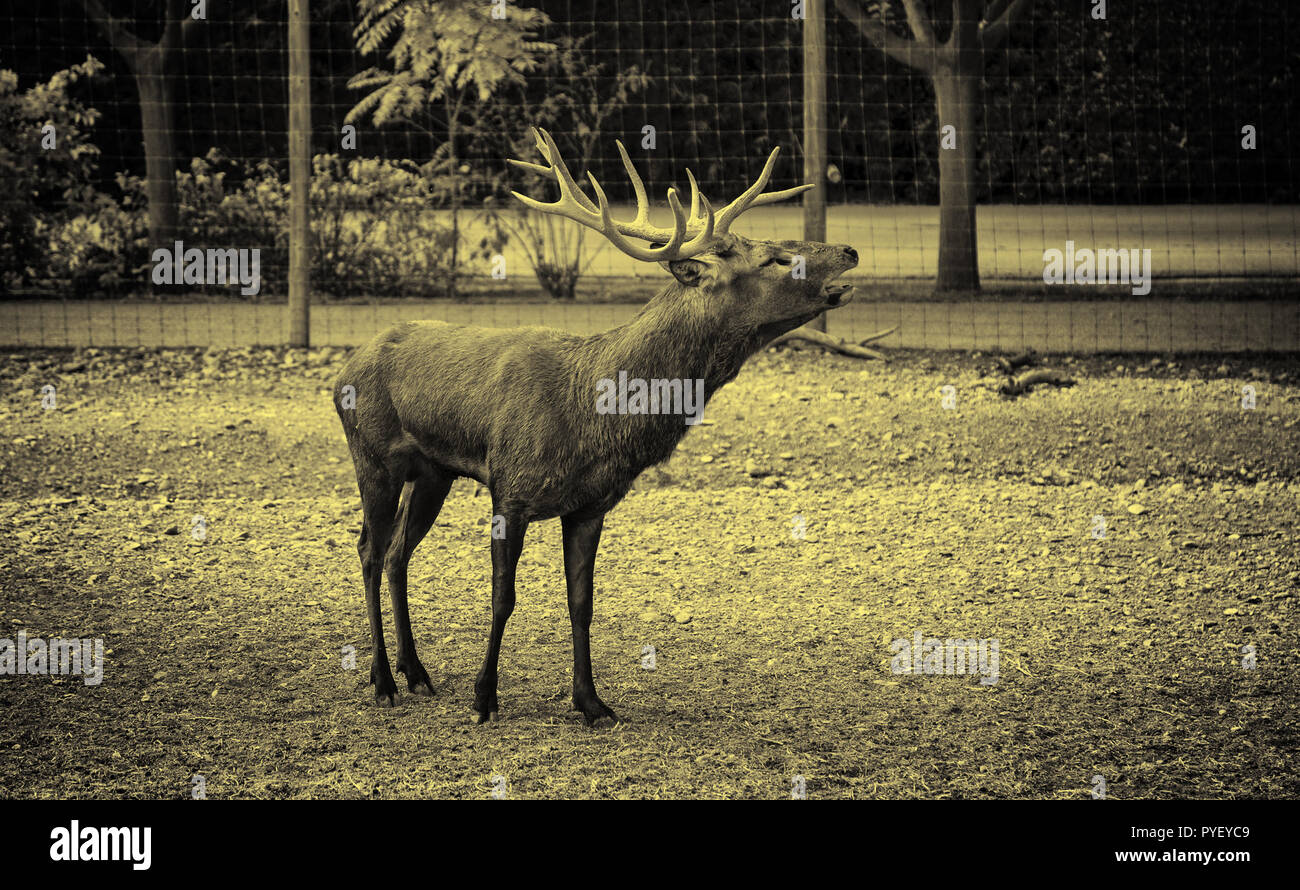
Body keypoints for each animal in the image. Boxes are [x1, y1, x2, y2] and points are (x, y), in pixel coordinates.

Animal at [334, 128, 858, 724]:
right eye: (775, 258)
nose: (849, 251)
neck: (593, 415)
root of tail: (341, 372)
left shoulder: (590, 505)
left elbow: (581, 603)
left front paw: (591, 702)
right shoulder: (510, 489)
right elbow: (503, 597)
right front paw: (485, 697)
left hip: (433, 474)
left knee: (398, 552)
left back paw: (416, 672)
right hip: (373, 458)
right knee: (369, 550)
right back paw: (382, 680)